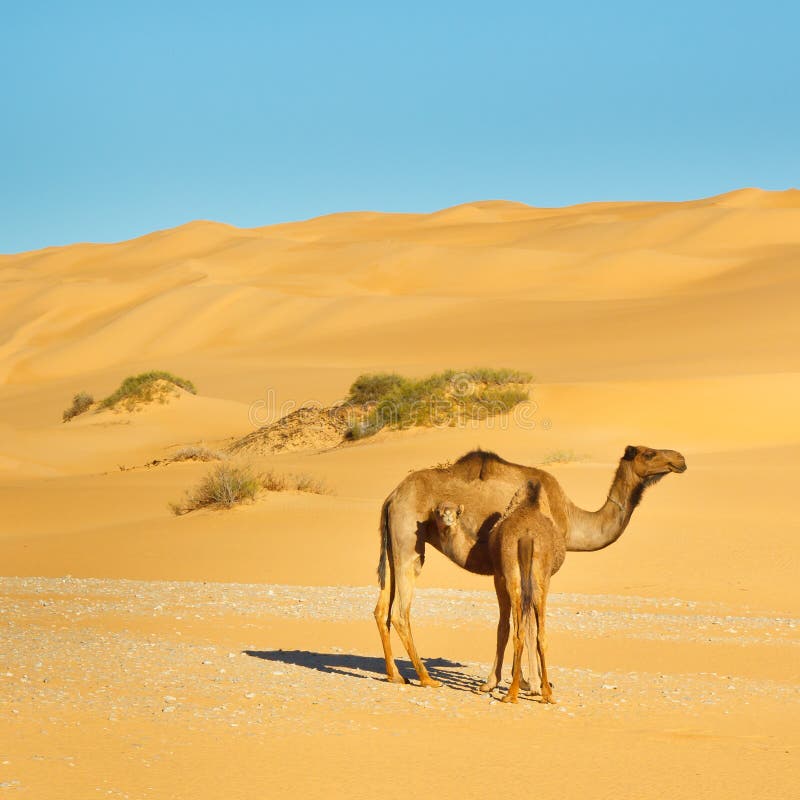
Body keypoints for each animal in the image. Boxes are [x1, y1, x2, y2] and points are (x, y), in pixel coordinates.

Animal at [374, 445, 686, 688]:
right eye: (649, 453)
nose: (680, 459)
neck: (571, 519)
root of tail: (392, 496)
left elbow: (516, 620)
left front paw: (521, 680)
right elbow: (528, 622)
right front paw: (532, 683)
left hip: (394, 543)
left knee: (381, 608)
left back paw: (395, 675)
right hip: (409, 541)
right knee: (400, 611)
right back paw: (426, 677)